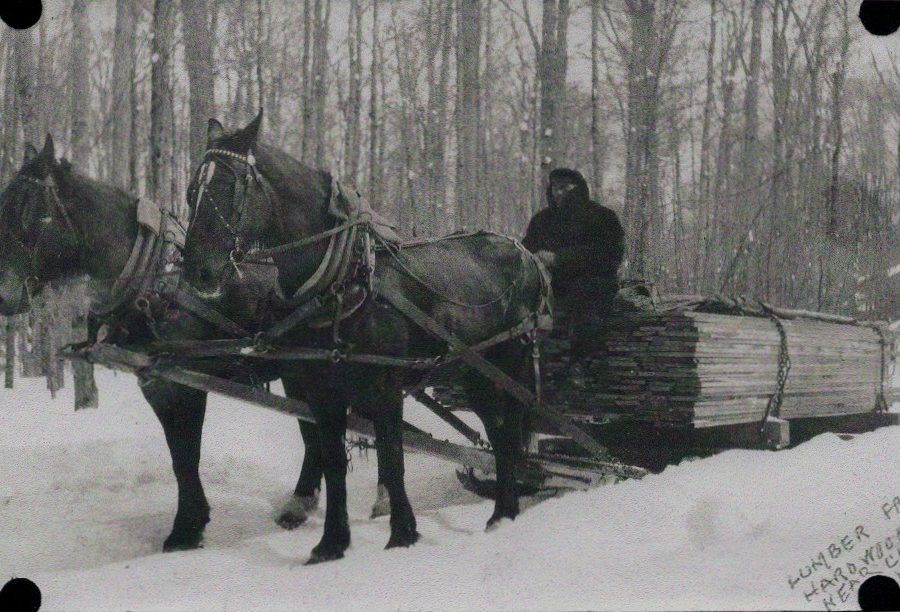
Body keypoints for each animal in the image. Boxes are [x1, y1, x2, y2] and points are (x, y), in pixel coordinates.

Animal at [0, 134, 383, 553]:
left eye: (30, 212)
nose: (4, 297)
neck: (152, 281)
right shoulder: (156, 381)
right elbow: (178, 457)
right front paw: (192, 523)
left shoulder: (183, 383)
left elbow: (187, 456)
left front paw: (185, 529)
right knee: (313, 429)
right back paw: (300, 502)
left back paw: (380, 500)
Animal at [183, 110, 549, 562]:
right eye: (192, 190)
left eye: (232, 185)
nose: (197, 270)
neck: (343, 279)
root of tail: (527, 255)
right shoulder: (321, 391)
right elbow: (333, 460)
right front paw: (332, 543)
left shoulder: (385, 387)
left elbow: (393, 459)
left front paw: (402, 534)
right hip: (472, 370)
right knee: (499, 431)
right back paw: (502, 511)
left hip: (506, 365)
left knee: (507, 432)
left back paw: (504, 512)